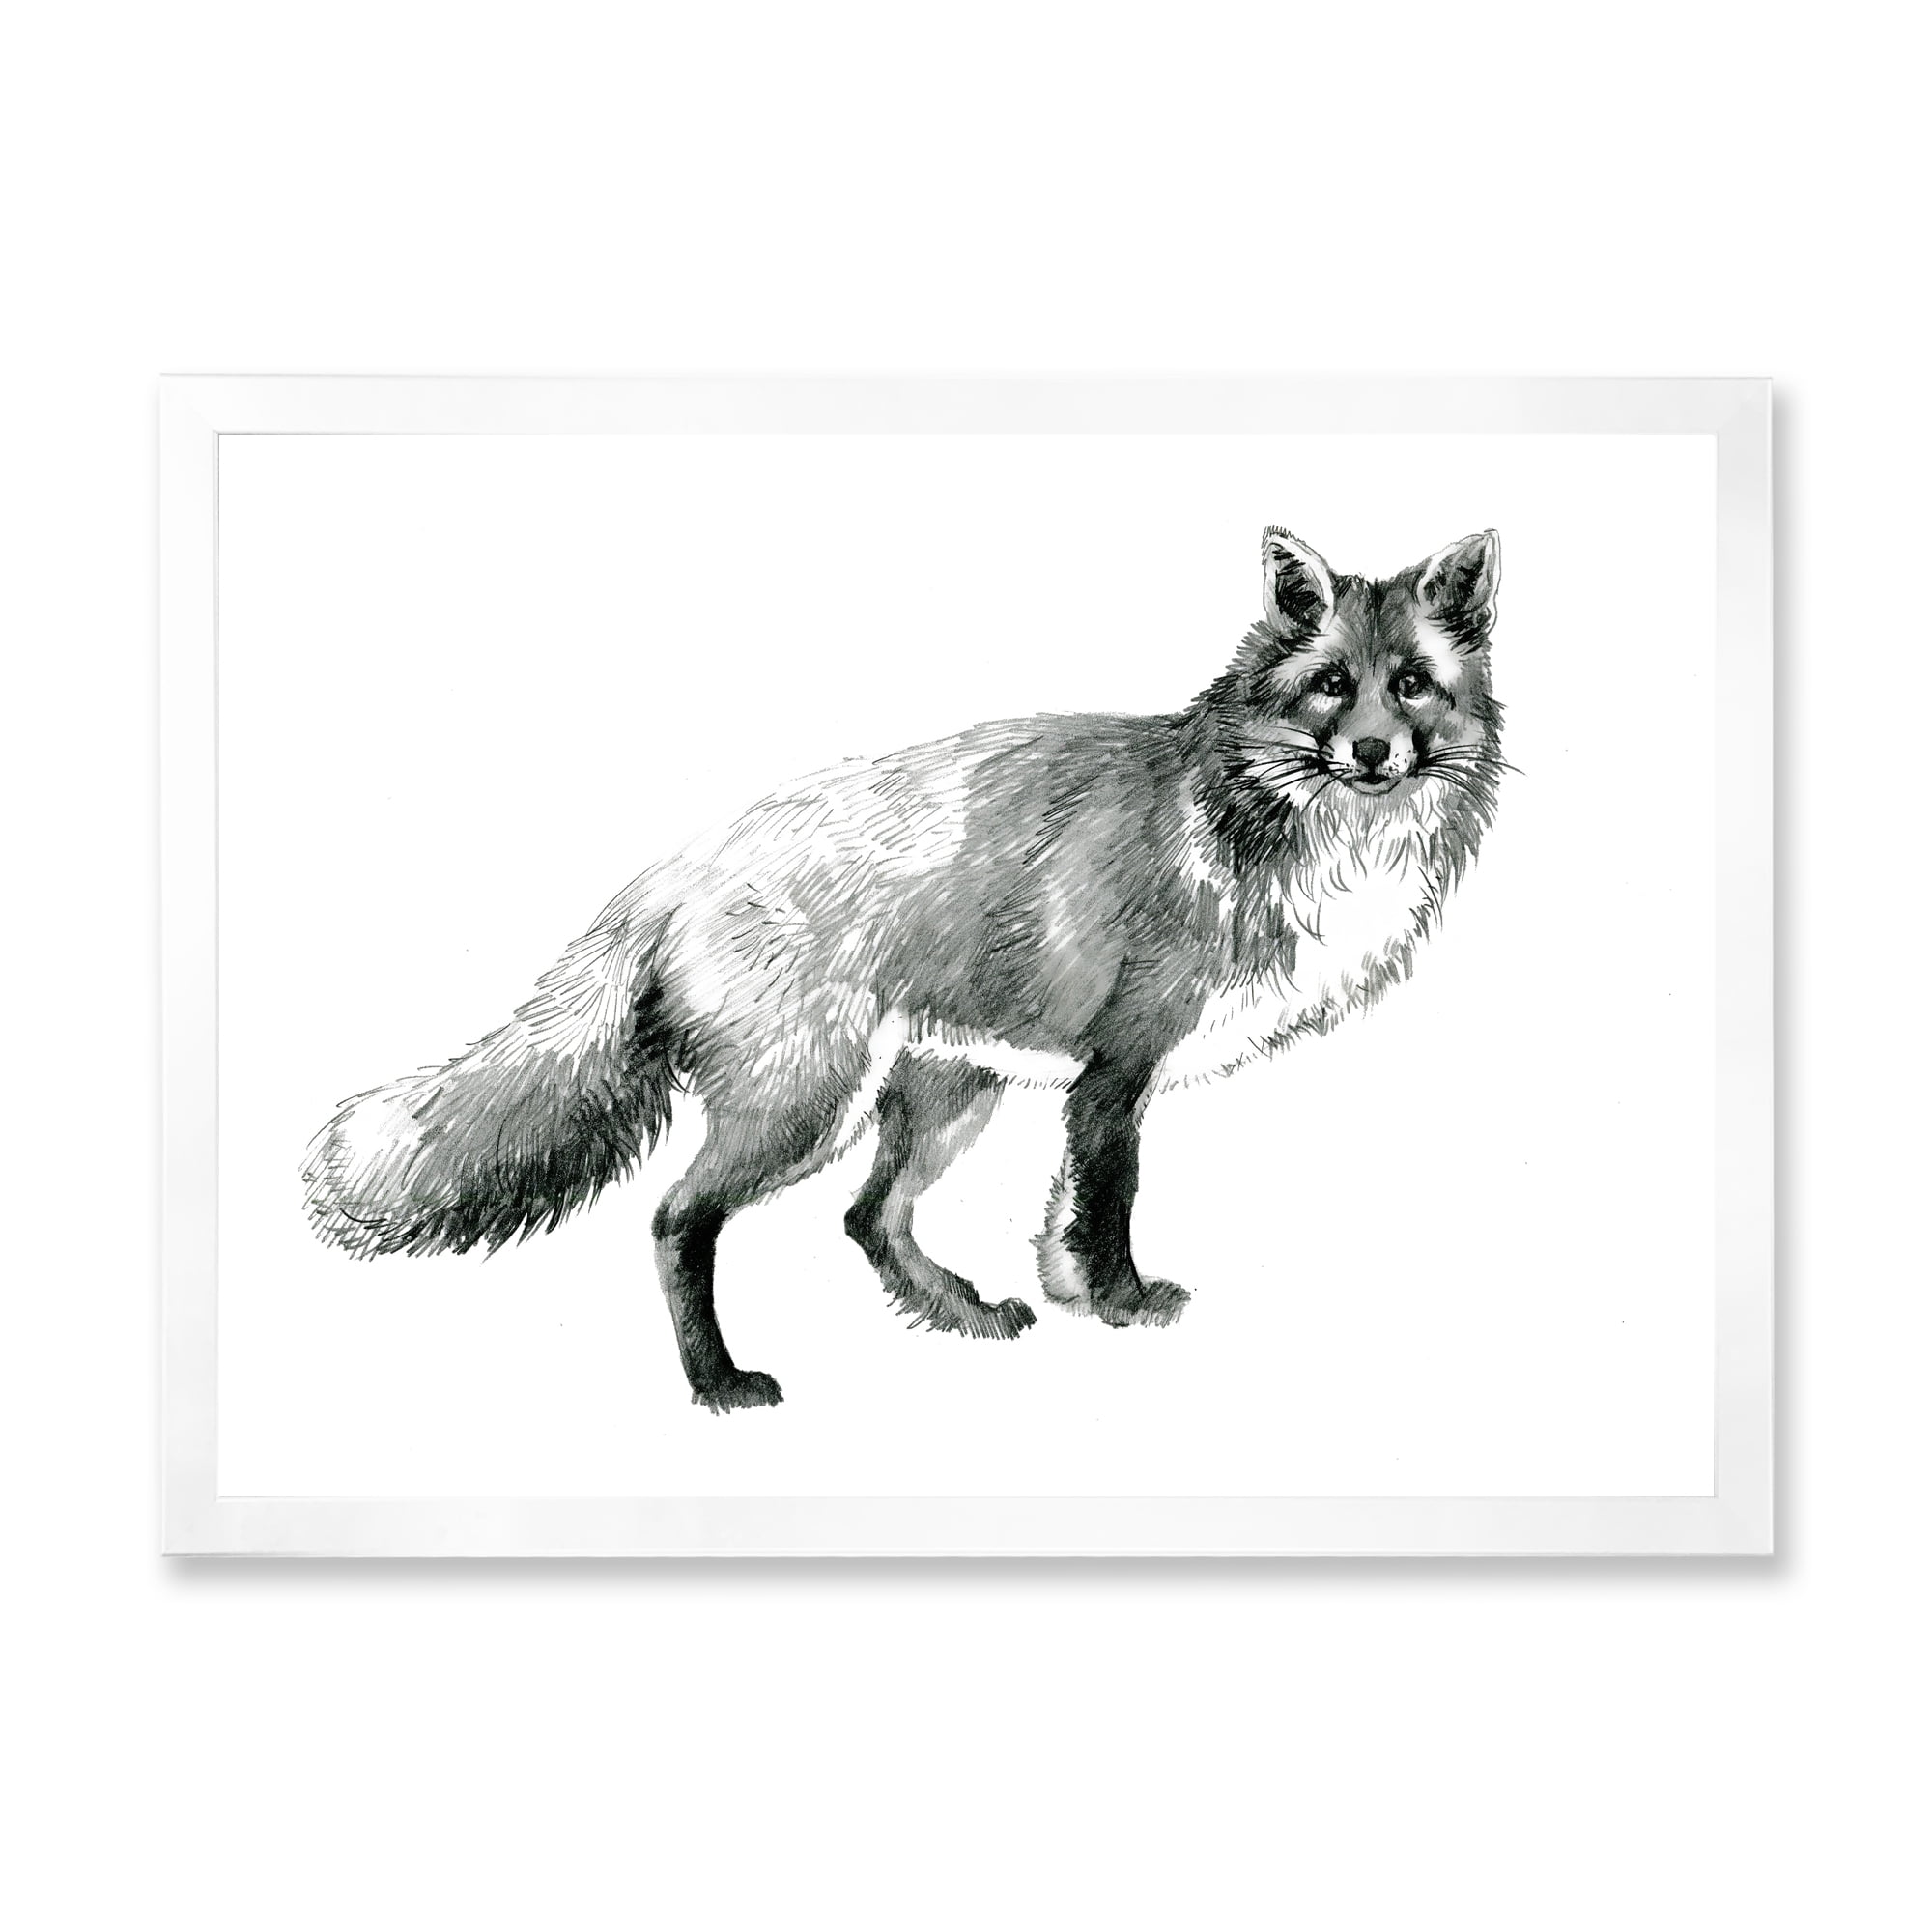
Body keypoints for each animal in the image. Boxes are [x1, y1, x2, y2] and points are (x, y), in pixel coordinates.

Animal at [303, 526, 1505, 1411]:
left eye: (1411, 683)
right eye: (1329, 684)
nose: (1372, 753)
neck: (1270, 829)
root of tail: (676, 868)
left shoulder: (1081, 1086)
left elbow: (1061, 1220)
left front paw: (1071, 1301)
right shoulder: (1118, 1069)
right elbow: (1108, 1209)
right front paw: (1122, 1307)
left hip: (941, 1093)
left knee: (867, 1218)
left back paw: (962, 1313)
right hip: (805, 1105)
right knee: (676, 1218)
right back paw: (719, 1383)